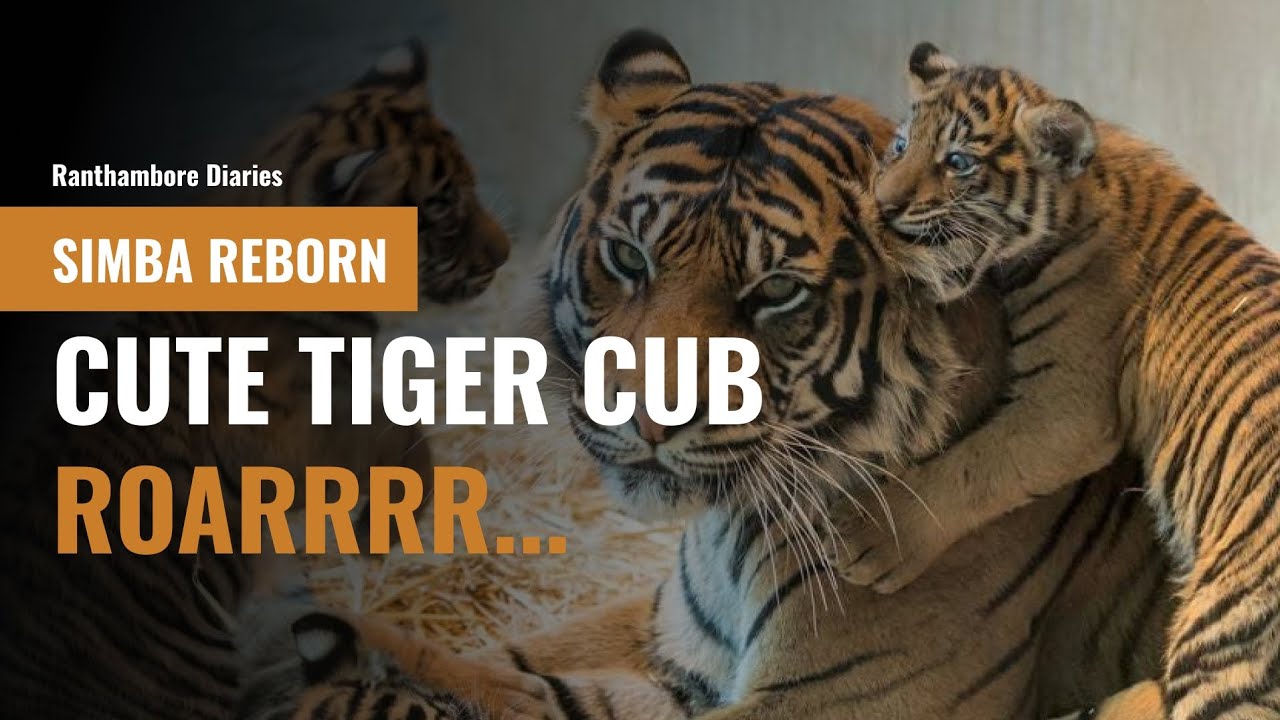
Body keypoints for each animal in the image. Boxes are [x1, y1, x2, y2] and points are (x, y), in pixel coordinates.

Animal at [264, 29, 1177, 720]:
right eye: (628, 258)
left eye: (775, 291)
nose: (643, 417)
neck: (731, 531)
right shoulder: (668, 633)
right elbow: (516, 665)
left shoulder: (832, 700)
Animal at [827, 42, 1280, 719]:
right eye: (902, 145)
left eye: (958, 162)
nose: (882, 208)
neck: (1083, 191)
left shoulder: (1068, 409)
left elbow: (975, 465)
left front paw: (872, 539)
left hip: (1222, 636)